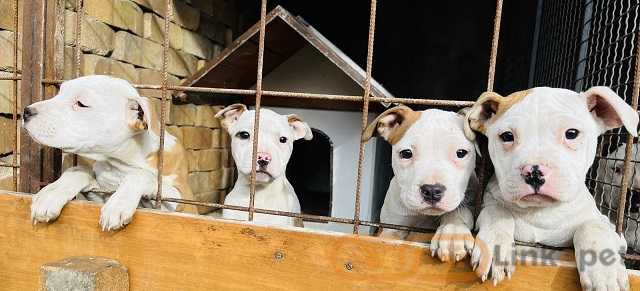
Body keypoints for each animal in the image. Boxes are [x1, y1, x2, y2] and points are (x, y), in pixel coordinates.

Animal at [23, 76, 196, 233]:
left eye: (81, 103)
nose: (26, 111)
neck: (119, 164)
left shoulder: (180, 203)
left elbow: (141, 175)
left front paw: (119, 204)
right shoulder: (99, 192)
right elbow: (78, 170)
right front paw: (51, 193)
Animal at [364, 106, 480, 264]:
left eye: (461, 153)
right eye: (406, 153)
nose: (432, 190)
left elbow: (460, 210)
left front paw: (453, 232)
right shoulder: (392, 225)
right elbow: (389, 239)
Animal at [462, 86, 636, 290]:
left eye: (571, 133)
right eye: (507, 136)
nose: (534, 172)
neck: (540, 211)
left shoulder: (611, 230)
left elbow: (592, 227)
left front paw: (605, 272)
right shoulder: (488, 202)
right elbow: (497, 212)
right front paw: (496, 246)